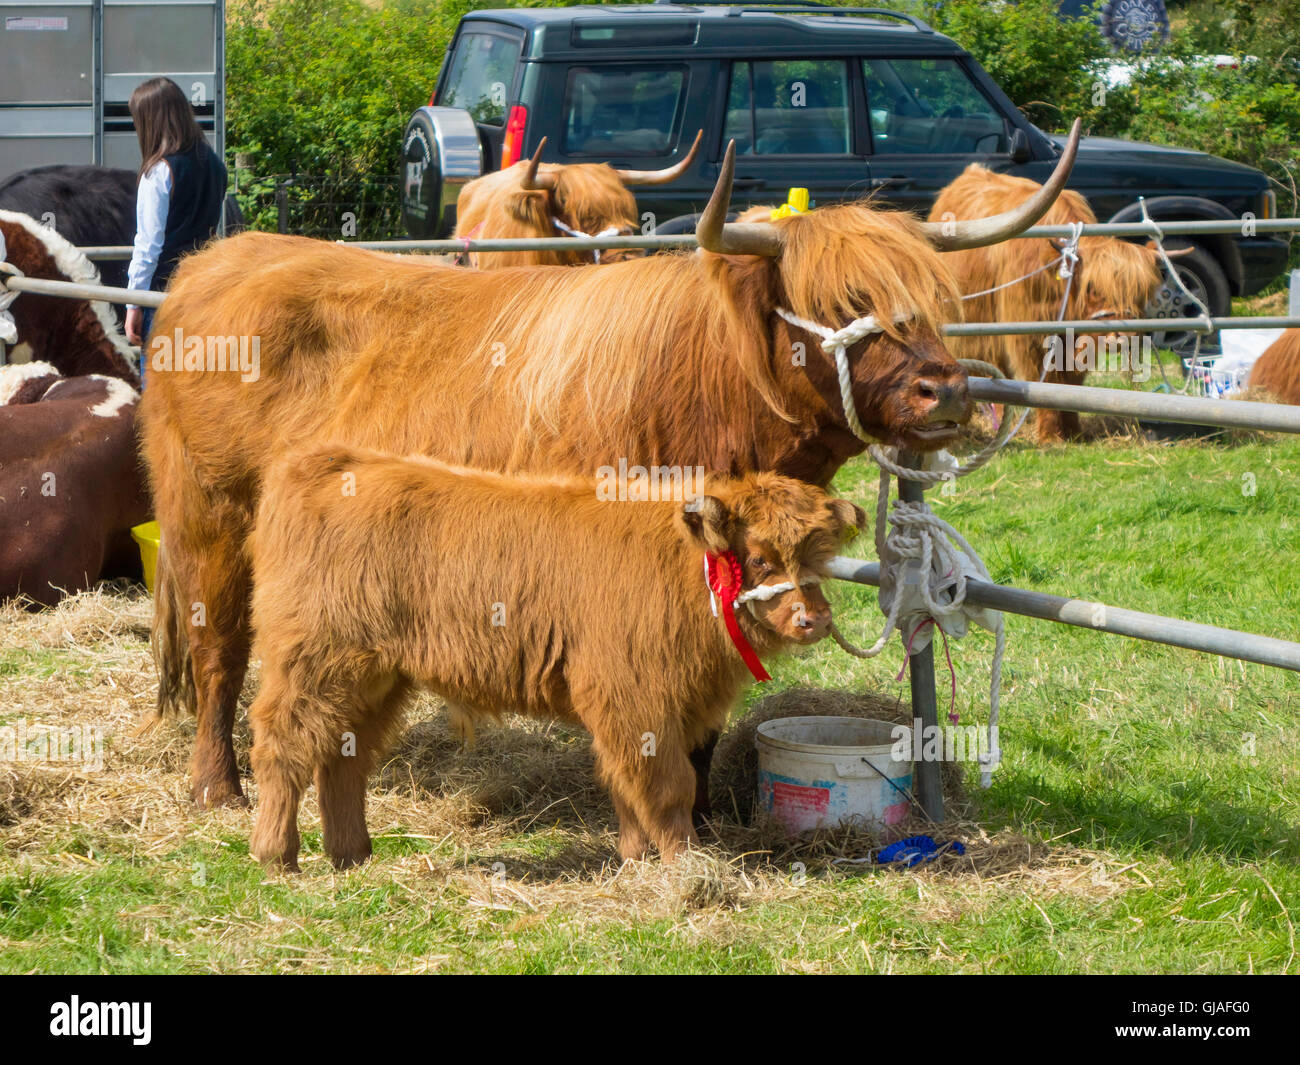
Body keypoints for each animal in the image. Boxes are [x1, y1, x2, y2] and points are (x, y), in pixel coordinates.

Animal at [247, 445, 863, 869]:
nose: (813, 619)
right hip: (315, 664)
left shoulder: (639, 708)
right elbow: (669, 785)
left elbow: (627, 783)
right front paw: (689, 866)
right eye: (758, 559)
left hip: (375, 678)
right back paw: (276, 854)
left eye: (820, 554)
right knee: (283, 744)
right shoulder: (634, 697)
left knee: (343, 757)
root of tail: (329, 460)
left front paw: (636, 860)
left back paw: (352, 854)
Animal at [931, 165, 1174, 442]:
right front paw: (1050, 434)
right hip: (981, 324)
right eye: (1092, 288)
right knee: (995, 368)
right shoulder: (1032, 336)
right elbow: (1045, 380)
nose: (1123, 337)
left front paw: (1074, 430)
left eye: (1141, 291)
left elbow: (1072, 382)